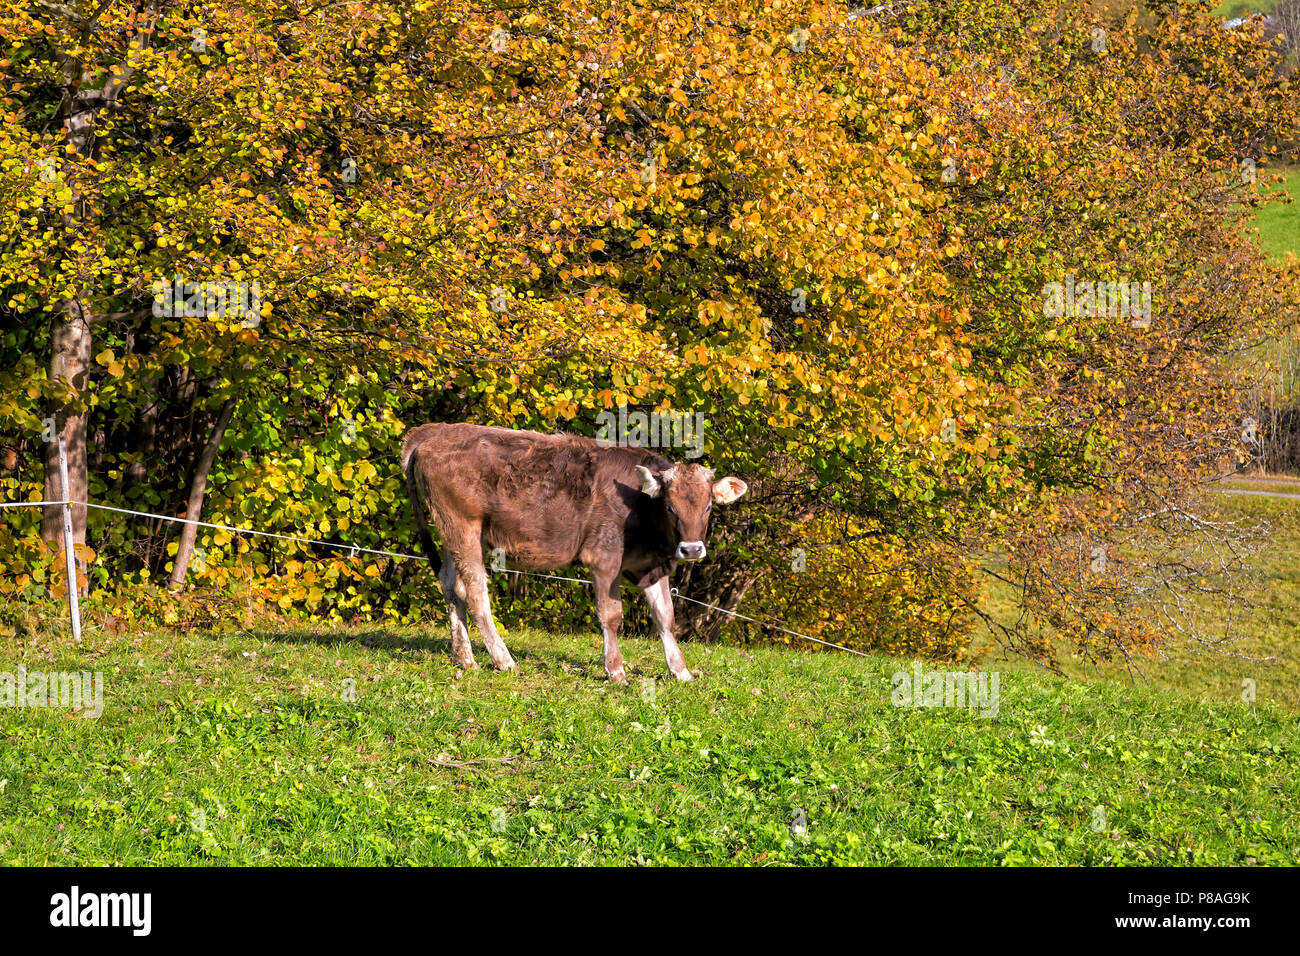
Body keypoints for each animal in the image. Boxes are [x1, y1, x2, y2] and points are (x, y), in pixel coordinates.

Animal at [401, 422, 748, 684]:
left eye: (708, 506)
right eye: (670, 506)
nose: (691, 549)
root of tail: (435, 431)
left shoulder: (652, 564)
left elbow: (665, 616)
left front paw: (681, 671)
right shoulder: (604, 558)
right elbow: (611, 615)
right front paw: (616, 671)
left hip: (452, 530)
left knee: (451, 585)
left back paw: (466, 658)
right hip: (463, 524)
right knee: (474, 590)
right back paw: (504, 659)